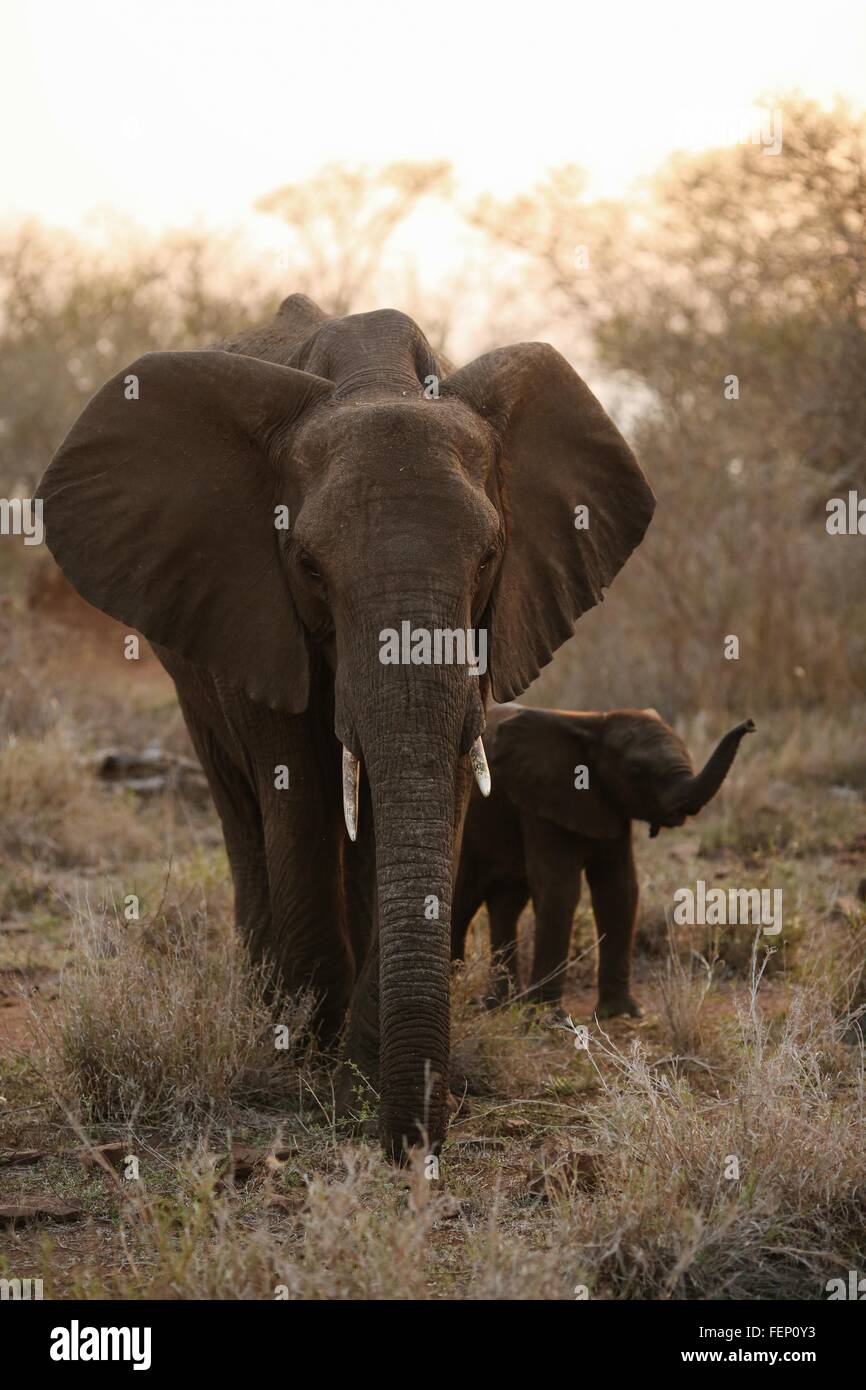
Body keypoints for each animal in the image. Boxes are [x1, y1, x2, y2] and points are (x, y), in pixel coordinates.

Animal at [37, 294, 655, 1158]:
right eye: (309, 567)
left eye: (489, 557)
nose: (410, 1149)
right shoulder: (253, 600)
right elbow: (294, 785)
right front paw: (308, 1049)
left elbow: (443, 780)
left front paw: (359, 1071)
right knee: (243, 808)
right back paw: (267, 1005)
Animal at [452, 703, 755, 1017]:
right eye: (635, 772)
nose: (749, 724)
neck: (595, 723)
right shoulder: (541, 805)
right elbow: (560, 891)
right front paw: (548, 1017)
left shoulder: (610, 808)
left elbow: (618, 889)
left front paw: (621, 1013)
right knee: (462, 900)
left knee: (505, 904)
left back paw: (499, 1005)